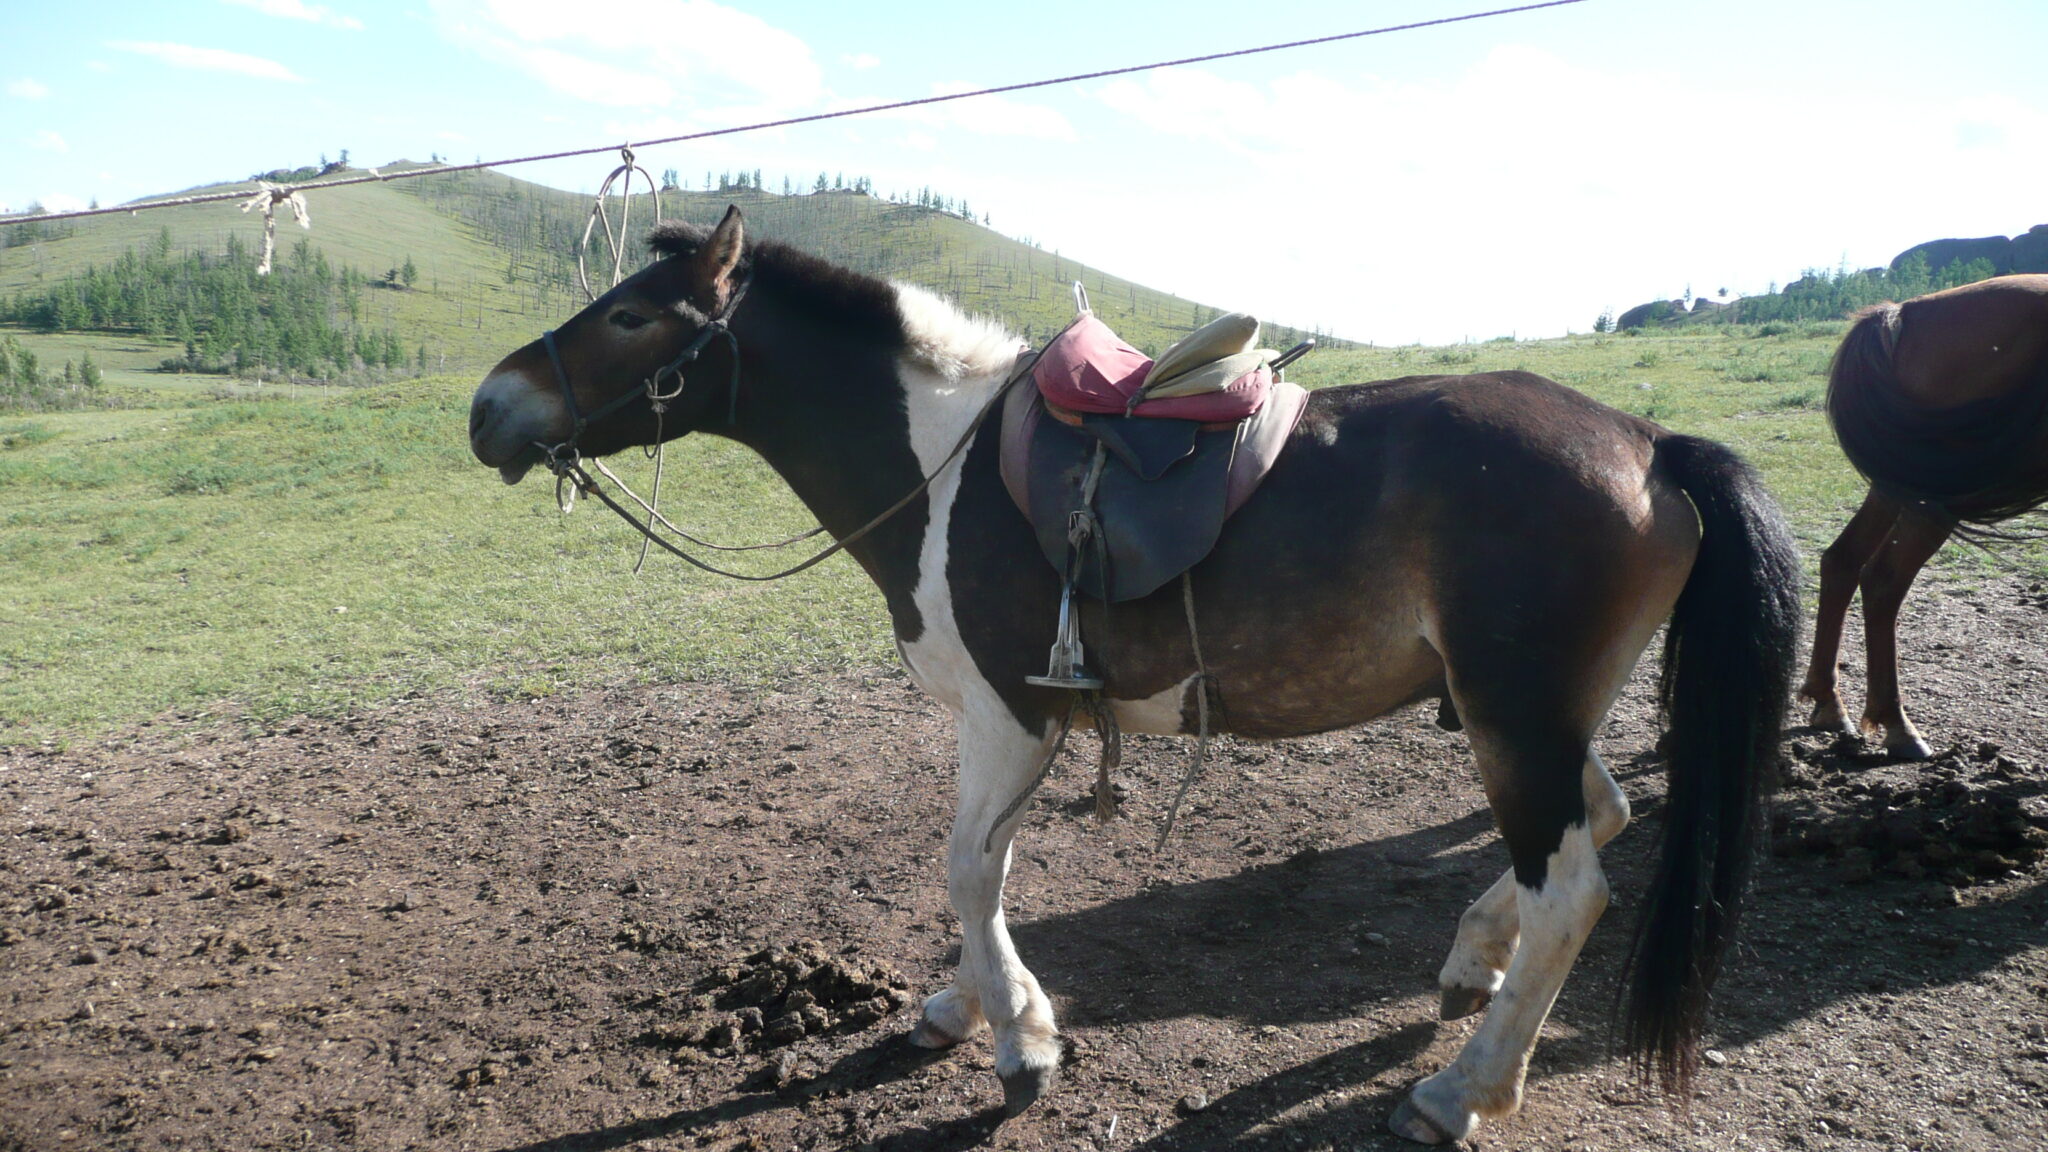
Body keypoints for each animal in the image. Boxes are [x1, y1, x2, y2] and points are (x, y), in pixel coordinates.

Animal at [466, 206, 1801, 1144]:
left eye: (634, 319)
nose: (488, 409)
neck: (942, 461)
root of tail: (1650, 446)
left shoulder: (1011, 710)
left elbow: (968, 866)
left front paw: (1018, 1044)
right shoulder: (1017, 721)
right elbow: (984, 865)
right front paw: (965, 1006)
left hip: (1511, 720)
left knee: (1569, 887)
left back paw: (1460, 1092)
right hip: (1533, 720)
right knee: (1602, 817)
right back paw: (1470, 961)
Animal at [1799, 274, 2048, 759]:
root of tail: (1902, 314)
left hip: (1897, 482)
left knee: (1841, 560)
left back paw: (1829, 703)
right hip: (1934, 490)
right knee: (1882, 580)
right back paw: (1898, 725)